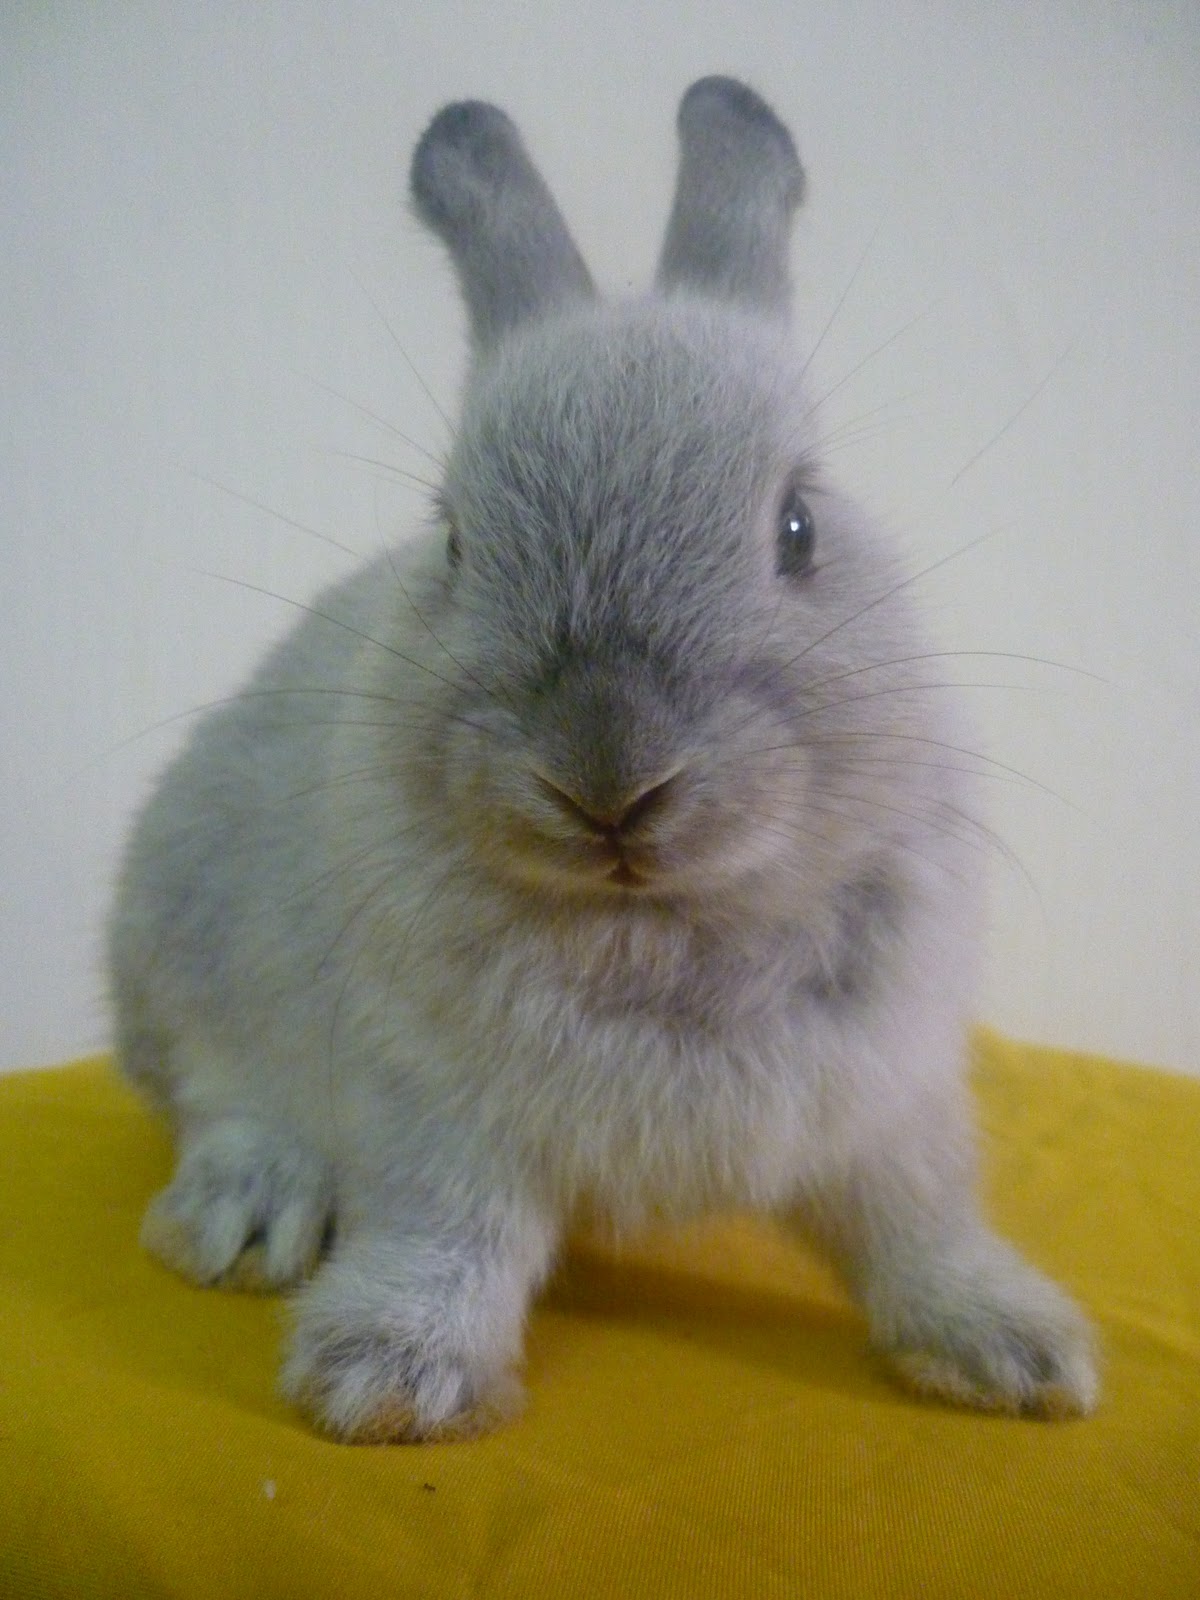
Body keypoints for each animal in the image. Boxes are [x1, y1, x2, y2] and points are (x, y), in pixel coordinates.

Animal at [108, 76, 1097, 1442]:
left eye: (799, 526)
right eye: (455, 541)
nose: (609, 777)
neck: (654, 922)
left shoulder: (887, 1102)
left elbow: (920, 1223)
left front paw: (1012, 1350)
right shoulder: (437, 1115)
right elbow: (446, 1238)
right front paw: (385, 1381)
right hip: (177, 941)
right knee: (214, 1090)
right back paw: (249, 1214)